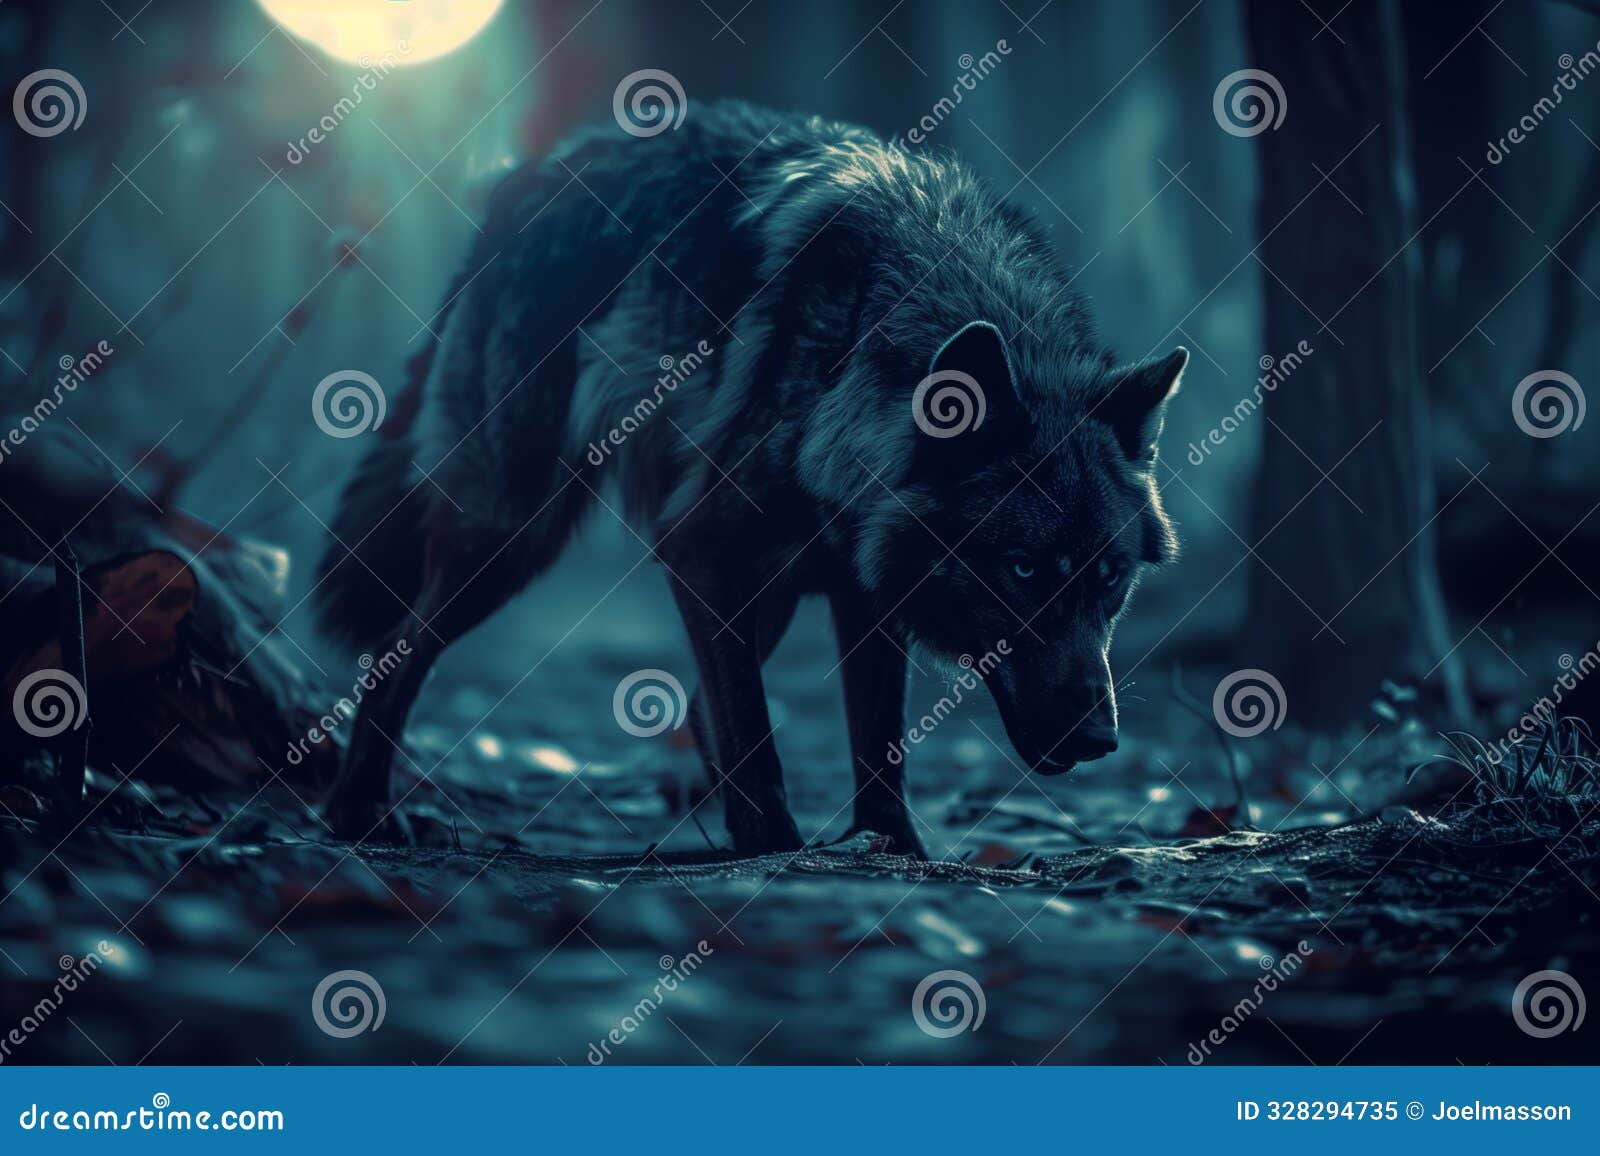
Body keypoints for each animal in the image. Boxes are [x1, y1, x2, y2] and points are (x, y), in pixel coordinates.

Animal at [312, 101, 1187, 857]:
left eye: (1111, 580)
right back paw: (359, 814)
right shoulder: (697, 549)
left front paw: (891, 847)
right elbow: (756, 734)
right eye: (1024, 570)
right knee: (395, 651)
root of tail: (526, 178)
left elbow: (877, 744)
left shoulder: (864, 588)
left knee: (699, 704)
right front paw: (776, 847)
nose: (1099, 738)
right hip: (513, 536)